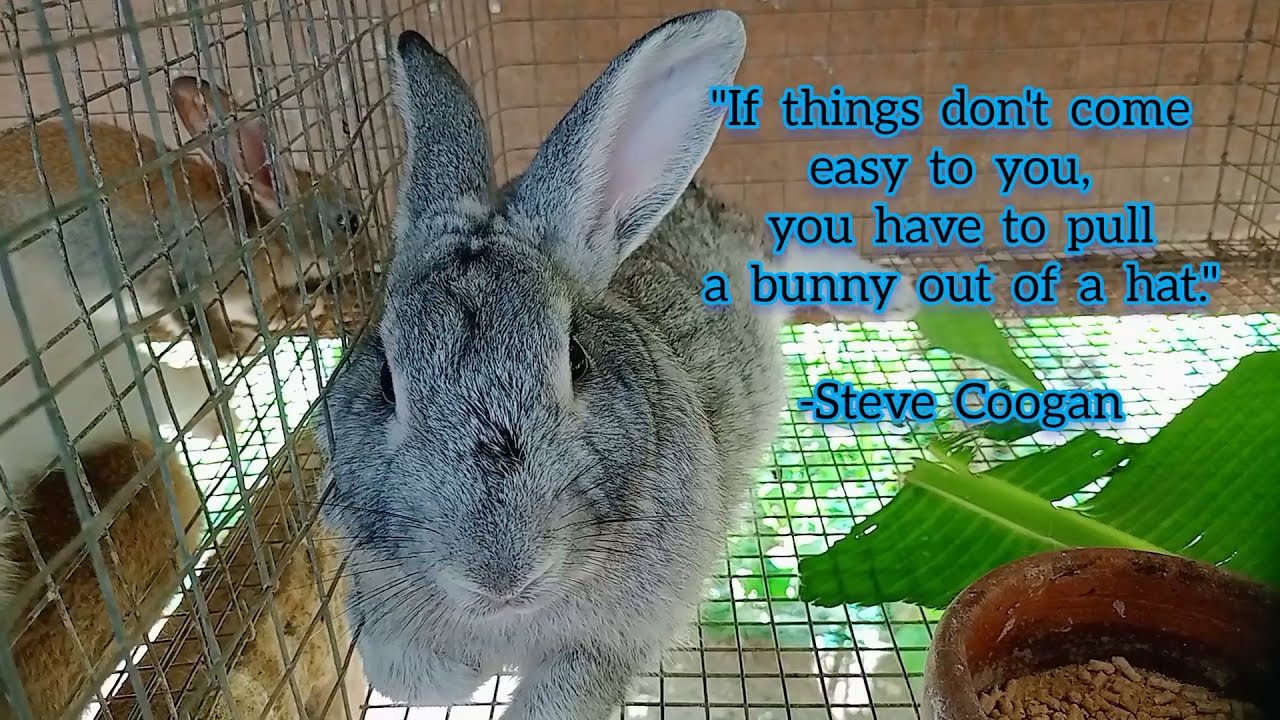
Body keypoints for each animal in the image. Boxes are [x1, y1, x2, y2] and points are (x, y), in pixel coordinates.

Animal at [313, 9, 918, 720]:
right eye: (386, 380)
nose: (502, 576)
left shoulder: (608, 646)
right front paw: (466, 670)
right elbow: (400, 671)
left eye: (578, 360)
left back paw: (894, 298)